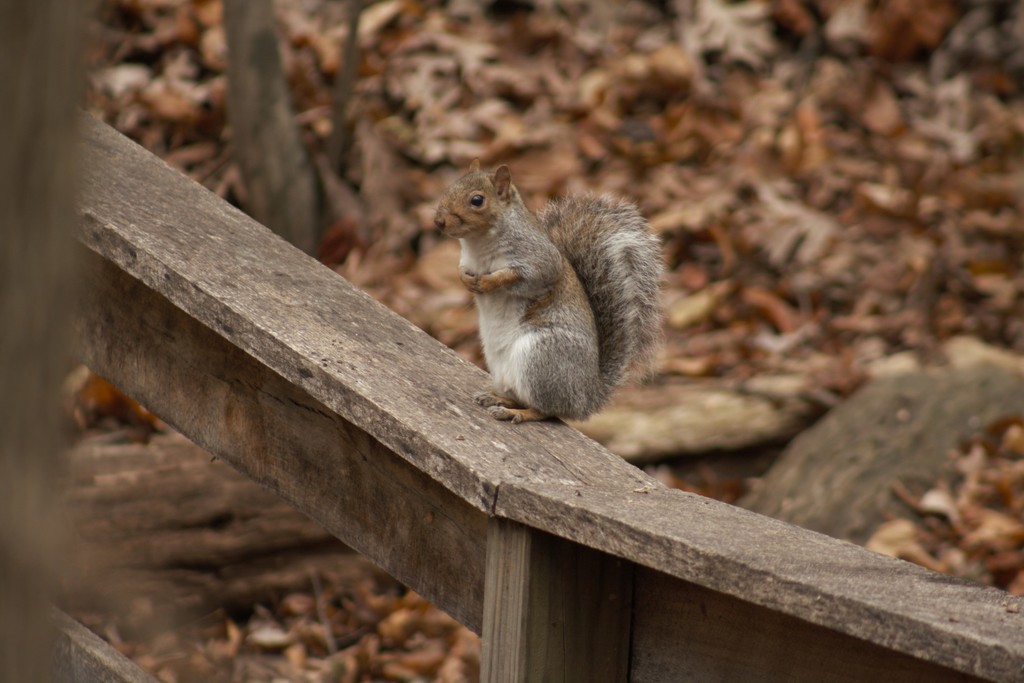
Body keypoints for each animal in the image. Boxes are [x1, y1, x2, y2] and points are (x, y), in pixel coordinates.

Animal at [433, 160, 663, 424]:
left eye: (477, 200)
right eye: (451, 186)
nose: (438, 221)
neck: (478, 244)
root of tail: (585, 397)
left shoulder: (540, 260)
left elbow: (522, 276)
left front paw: (488, 283)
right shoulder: (467, 261)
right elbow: (461, 271)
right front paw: (466, 281)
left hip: (541, 356)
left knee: (545, 410)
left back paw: (516, 413)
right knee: (522, 397)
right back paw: (499, 399)